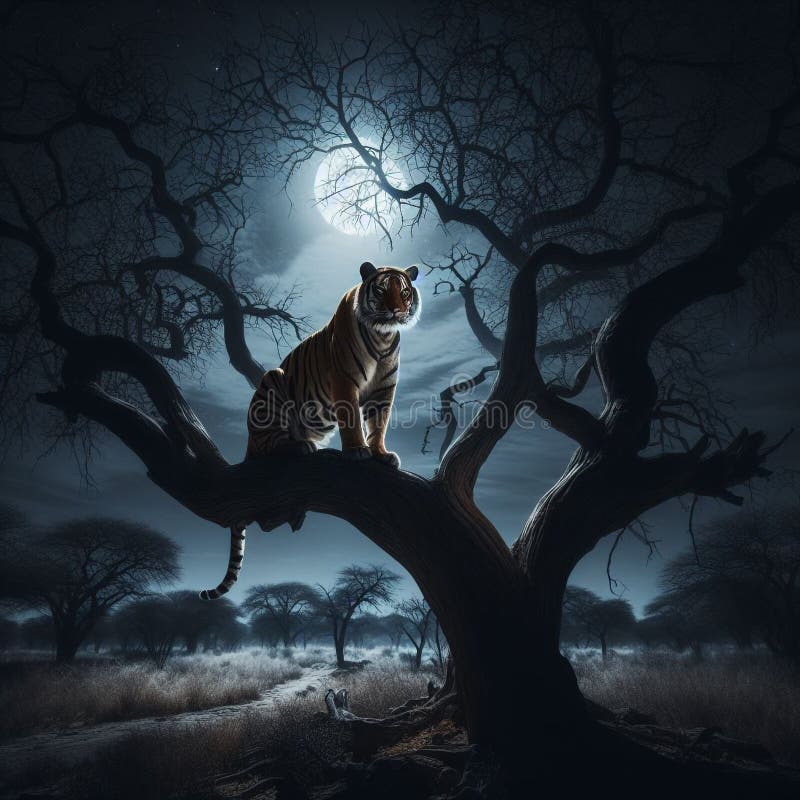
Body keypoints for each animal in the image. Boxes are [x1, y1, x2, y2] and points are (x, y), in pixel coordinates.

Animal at [199, 262, 420, 600]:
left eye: (404, 291)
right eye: (382, 289)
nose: (396, 309)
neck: (383, 338)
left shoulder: (384, 389)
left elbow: (379, 424)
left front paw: (381, 453)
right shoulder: (344, 379)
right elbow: (352, 420)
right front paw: (357, 451)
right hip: (273, 382)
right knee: (267, 445)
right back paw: (298, 446)